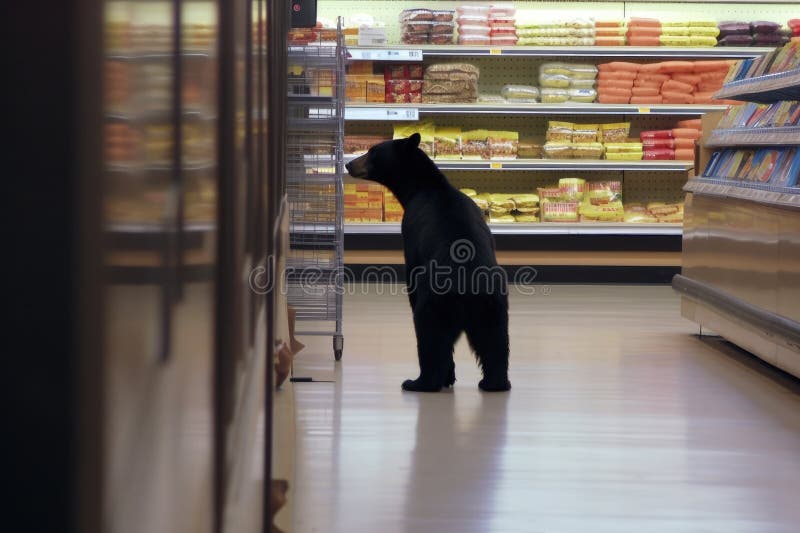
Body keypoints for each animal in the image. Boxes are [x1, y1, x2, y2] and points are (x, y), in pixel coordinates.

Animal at [345, 133, 511, 392]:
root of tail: (467, 282)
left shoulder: (410, 230)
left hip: (435, 302)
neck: (424, 186)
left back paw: (420, 382)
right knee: (495, 341)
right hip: (493, 303)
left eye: (372, 151)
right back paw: (494, 382)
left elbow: (411, 269)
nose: (348, 164)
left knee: (430, 337)